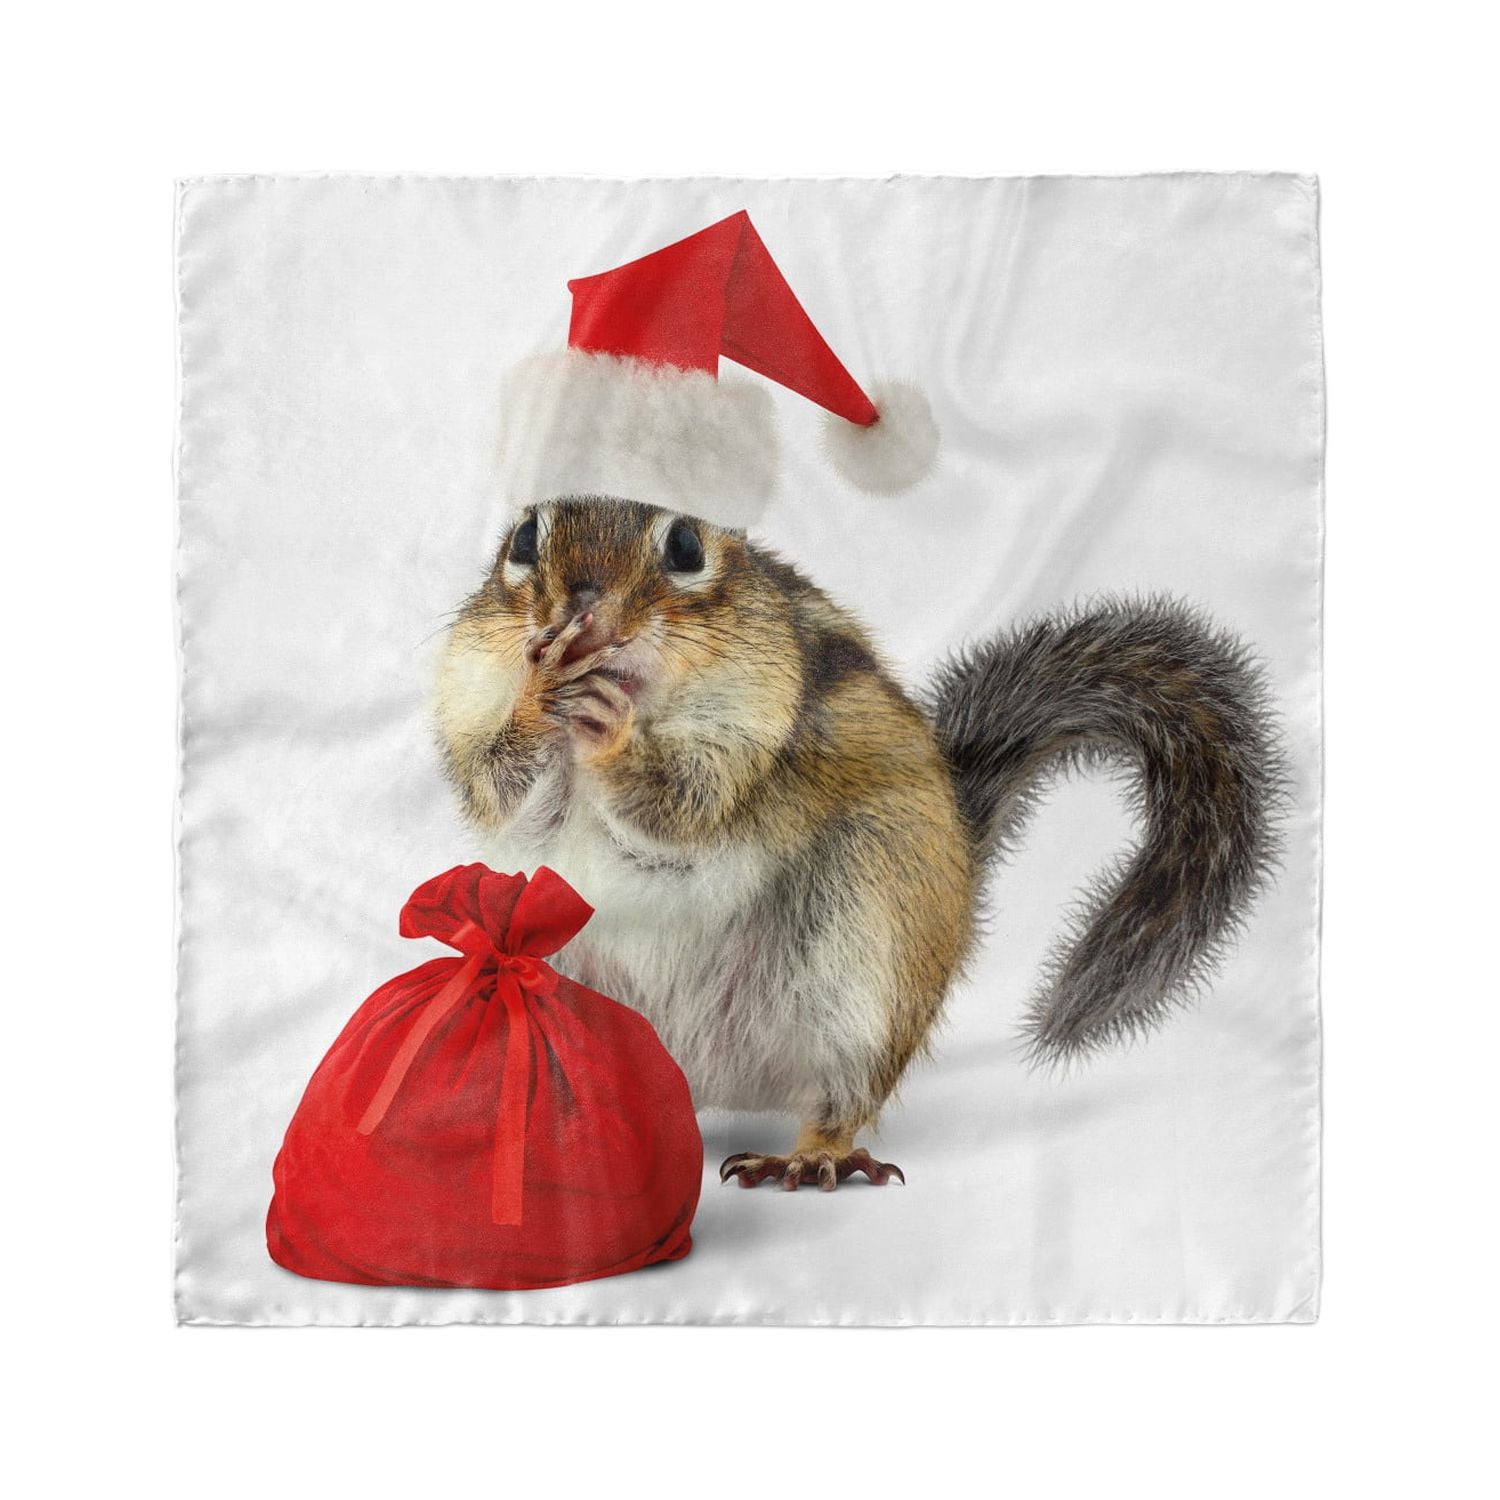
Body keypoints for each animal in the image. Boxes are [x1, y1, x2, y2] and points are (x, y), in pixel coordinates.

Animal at [436, 496, 1284, 1191]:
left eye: (683, 547)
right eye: (525, 538)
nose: (582, 613)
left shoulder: (755, 733)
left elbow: (679, 807)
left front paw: (611, 727)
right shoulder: (473, 709)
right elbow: (498, 785)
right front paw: (538, 694)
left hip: (866, 955)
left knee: (843, 1093)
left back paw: (813, 1157)